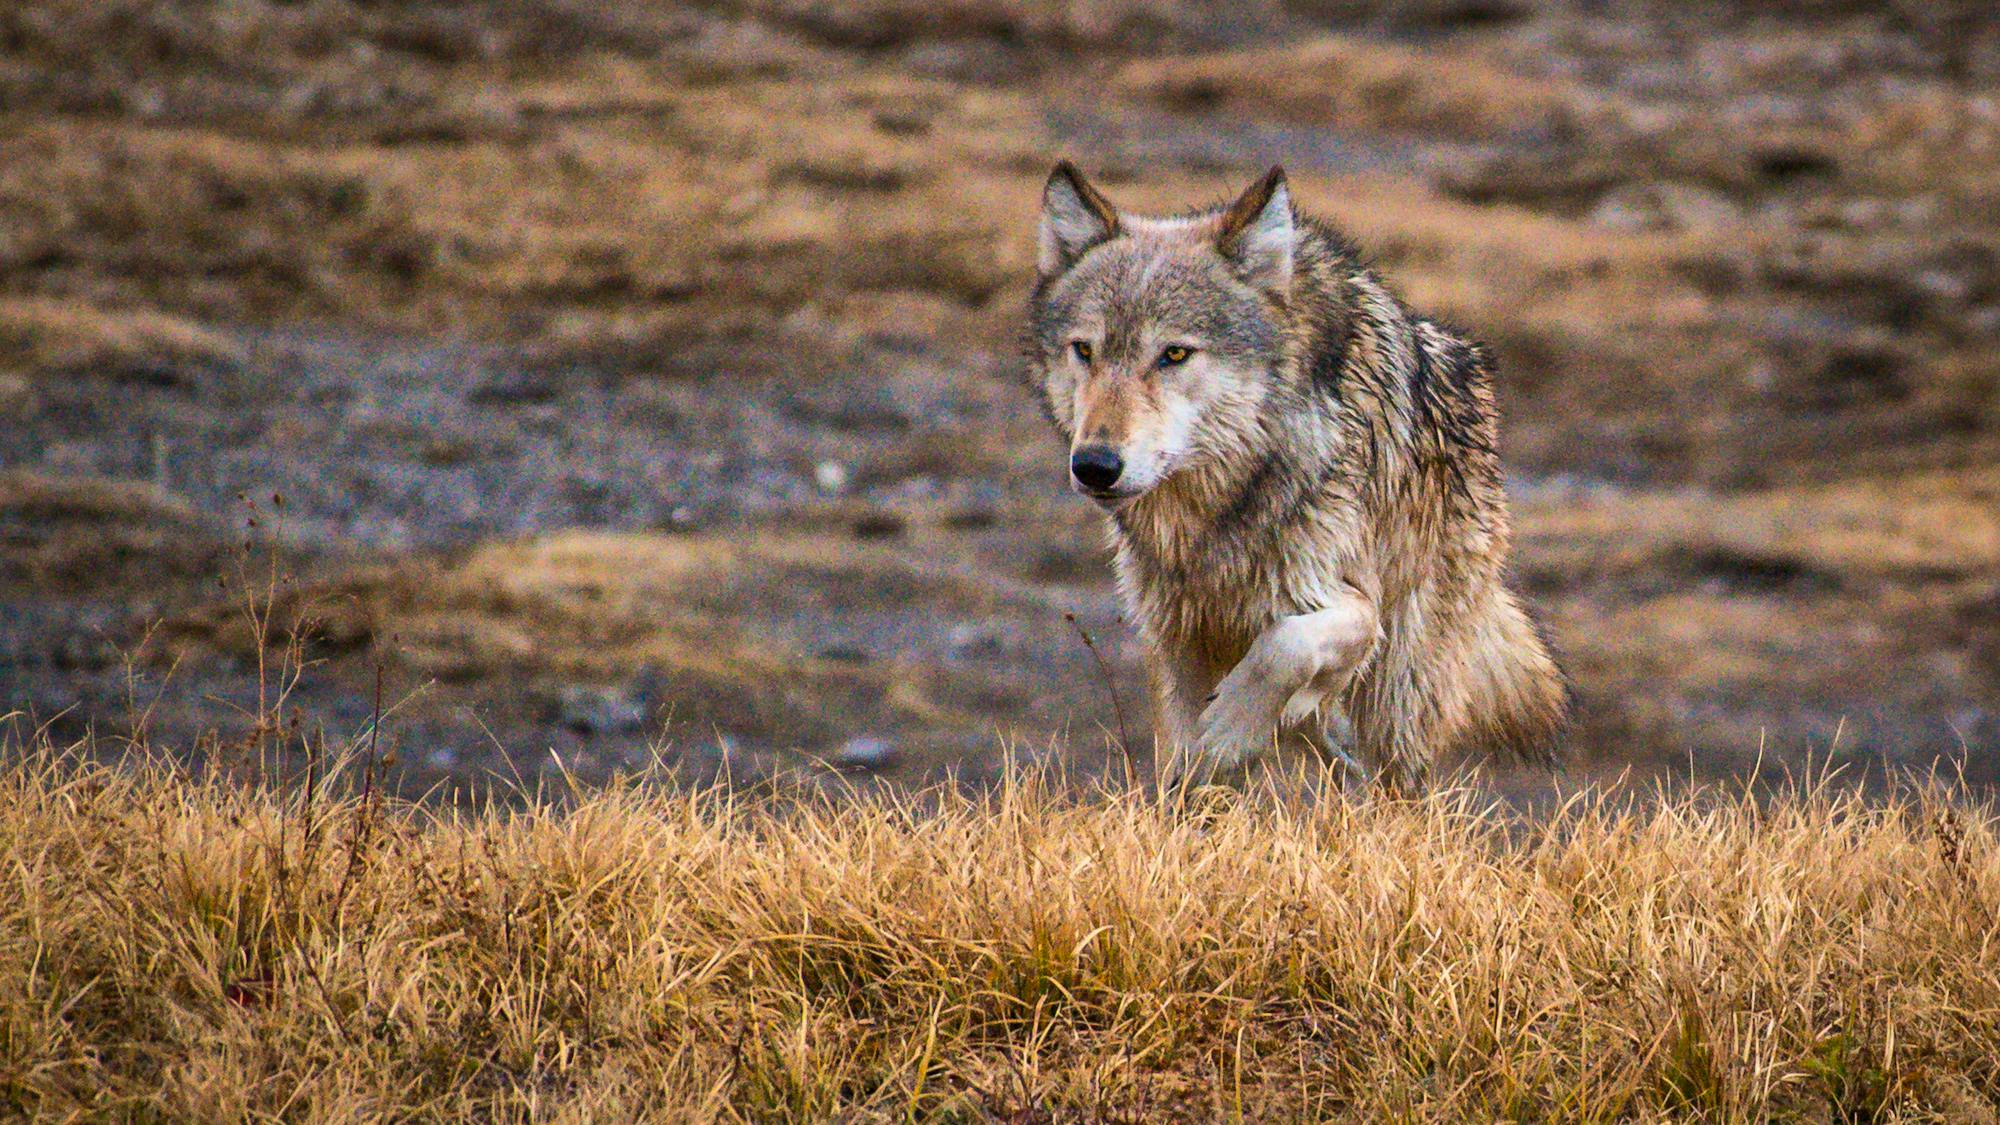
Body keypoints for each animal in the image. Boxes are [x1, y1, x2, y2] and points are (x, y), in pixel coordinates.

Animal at [1026, 162, 1567, 791]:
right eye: (1084, 350)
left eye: (1174, 354)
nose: (1094, 465)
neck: (1219, 505)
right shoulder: (1174, 630)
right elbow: (1181, 766)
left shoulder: (1350, 603)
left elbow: (1285, 644)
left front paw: (1229, 728)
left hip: (1401, 690)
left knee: (1395, 774)